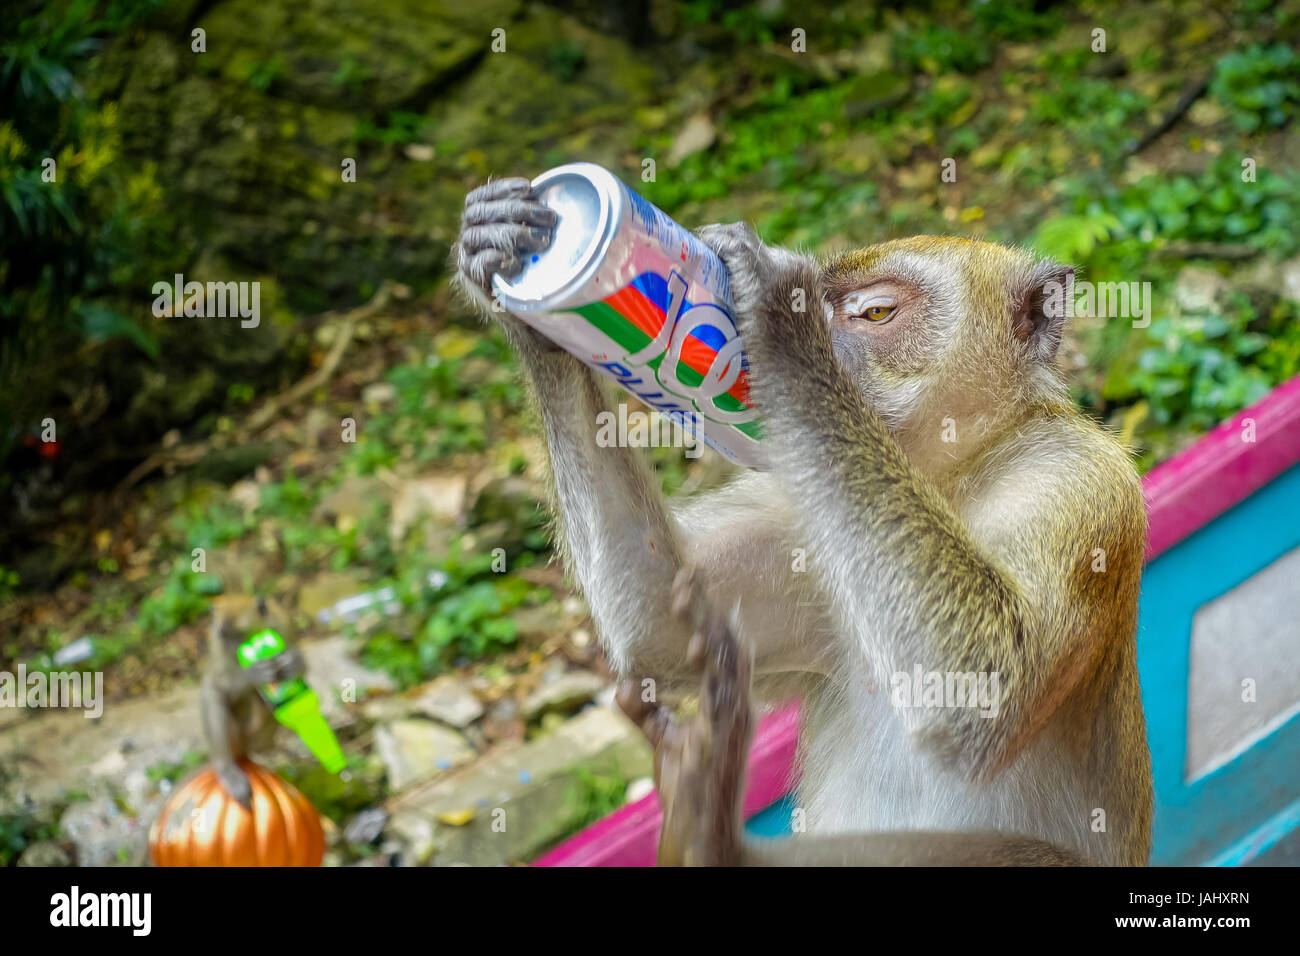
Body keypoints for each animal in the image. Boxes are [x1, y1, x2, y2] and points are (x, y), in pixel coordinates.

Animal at [199, 595, 305, 807]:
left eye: (240, 634)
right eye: (223, 634)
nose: (235, 649)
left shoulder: (283, 627)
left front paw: (294, 663)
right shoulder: (218, 649)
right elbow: (220, 684)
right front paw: (252, 673)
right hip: (234, 740)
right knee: (213, 697)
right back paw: (226, 768)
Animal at [454, 177, 1153, 866]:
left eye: (876, 313)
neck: (944, 483)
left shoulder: (1078, 484)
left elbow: (983, 685)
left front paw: (778, 316)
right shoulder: (798, 513)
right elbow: (659, 630)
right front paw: (513, 270)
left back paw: (710, 831)